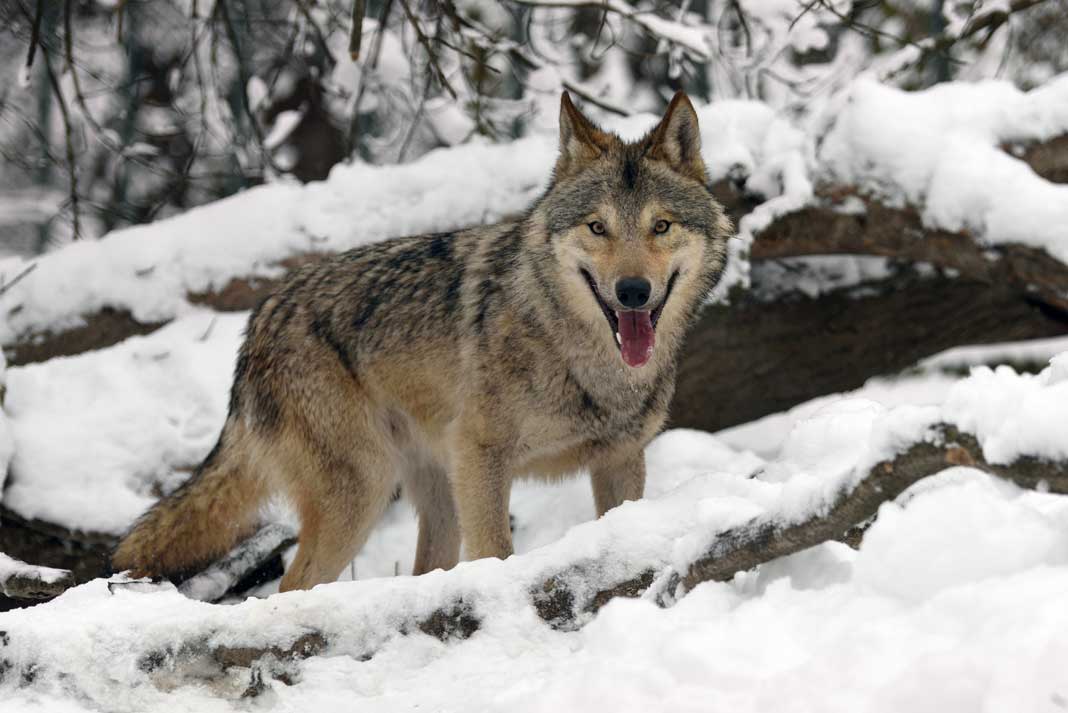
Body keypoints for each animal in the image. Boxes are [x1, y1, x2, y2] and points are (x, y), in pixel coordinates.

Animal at [112, 91, 732, 592]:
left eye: (661, 226)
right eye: (597, 227)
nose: (633, 291)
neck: (579, 358)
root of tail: (261, 316)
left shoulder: (621, 461)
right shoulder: (482, 457)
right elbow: (496, 552)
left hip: (432, 497)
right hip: (364, 492)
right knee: (288, 590)